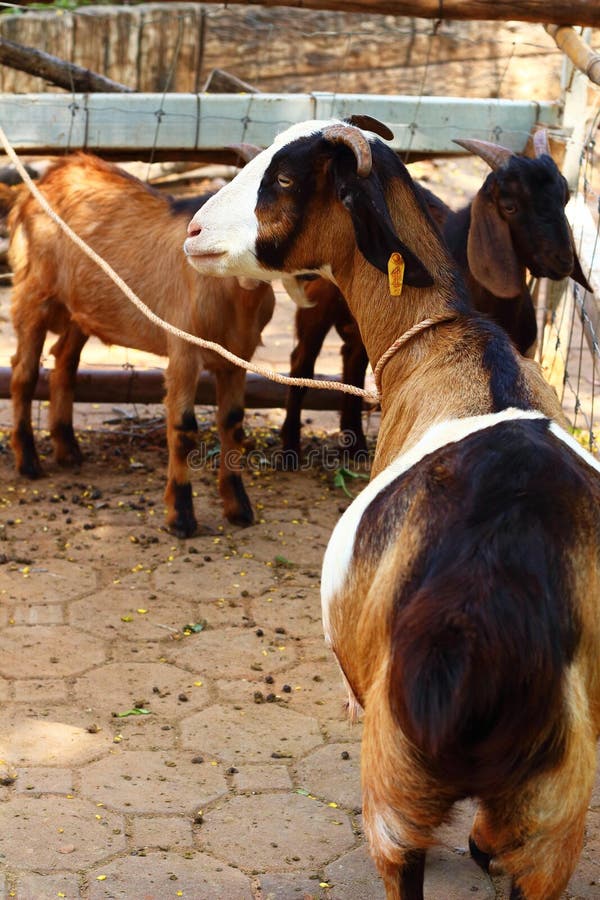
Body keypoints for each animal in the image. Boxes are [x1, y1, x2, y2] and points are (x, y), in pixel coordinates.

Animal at [9, 153, 275, 538]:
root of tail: (42, 182)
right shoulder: (183, 349)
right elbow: (183, 427)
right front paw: (180, 516)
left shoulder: (237, 358)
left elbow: (233, 423)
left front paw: (238, 507)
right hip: (35, 293)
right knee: (24, 374)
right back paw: (29, 461)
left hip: (81, 309)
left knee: (63, 364)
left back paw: (68, 450)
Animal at [280, 130, 591, 457]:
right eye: (510, 206)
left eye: (564, 199)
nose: (563, 261)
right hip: (317, 306)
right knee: (302, 363)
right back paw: (290, 446)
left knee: (352, 358)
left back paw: (355, 443)